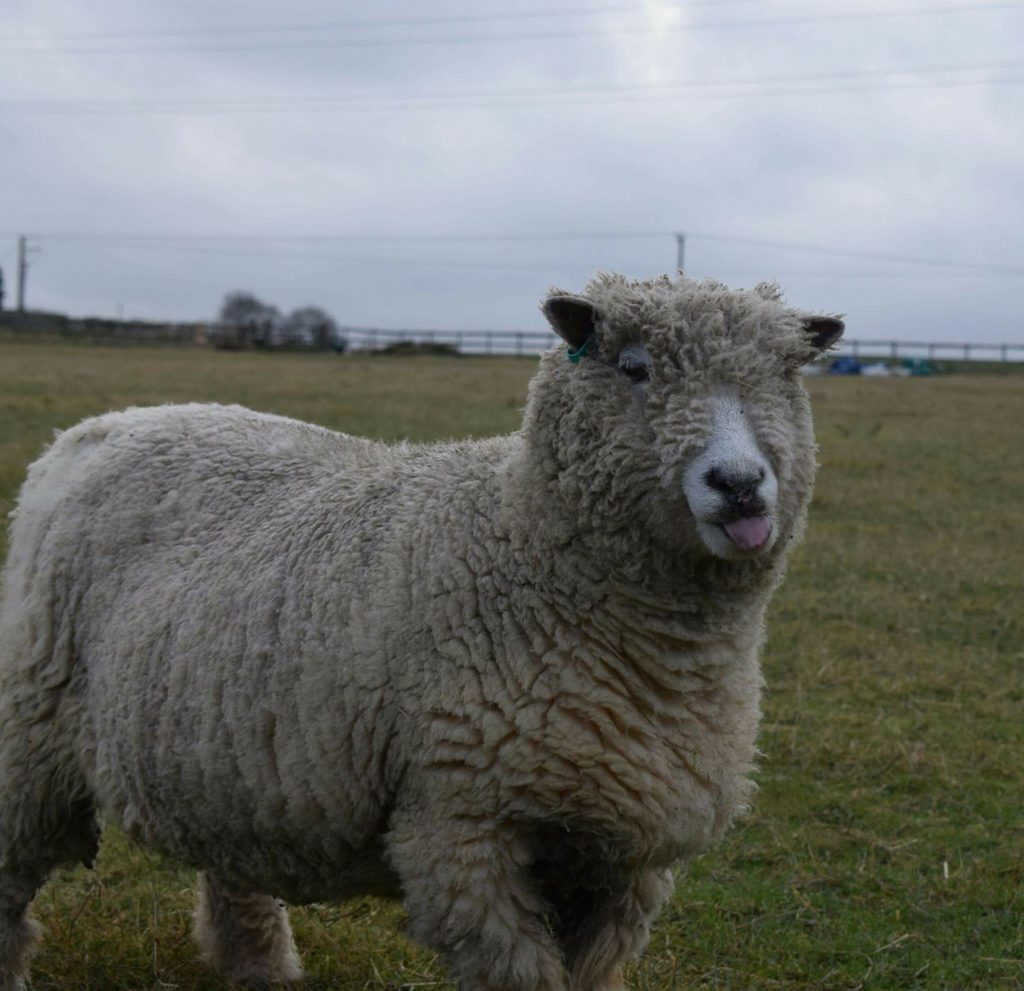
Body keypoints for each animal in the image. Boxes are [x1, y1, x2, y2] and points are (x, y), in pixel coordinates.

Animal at [0, 273, 843, 991]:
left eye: (786, 377)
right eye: (634, 366)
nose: (739, 484)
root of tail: (97, 427)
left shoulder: (625, 850)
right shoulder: (464, 824)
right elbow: (520, 974)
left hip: (223, 748)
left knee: (232, 867)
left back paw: (261, 967)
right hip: (33, 728)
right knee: (11, 875)